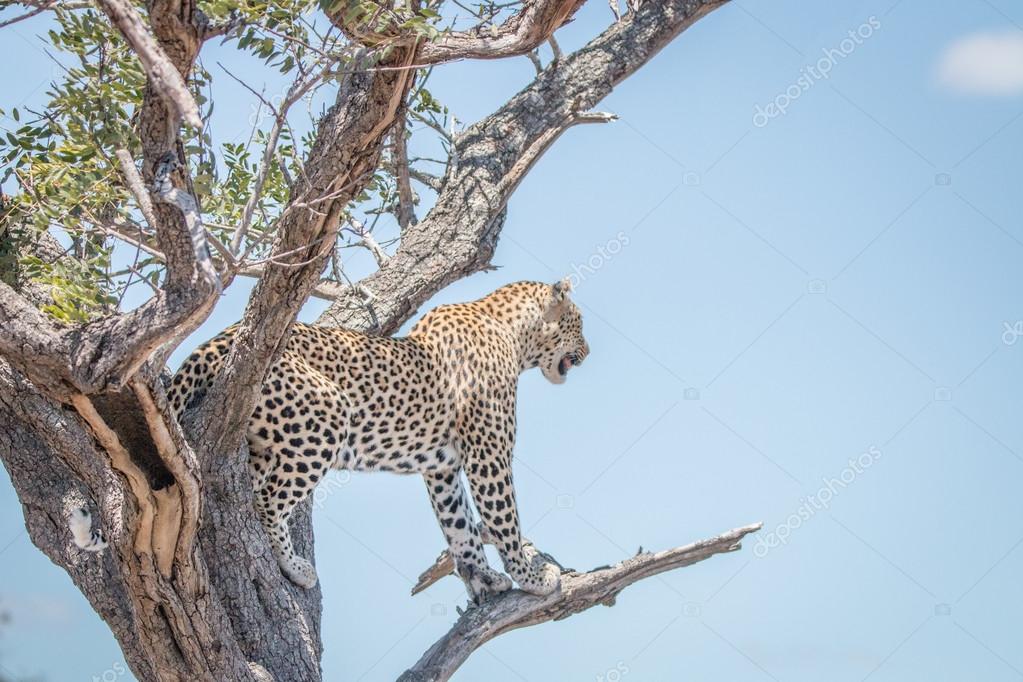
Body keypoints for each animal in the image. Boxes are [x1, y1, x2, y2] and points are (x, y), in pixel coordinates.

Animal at [168, 279, 589, 601]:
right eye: (580, 323)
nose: (587, 352)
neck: (513, 333)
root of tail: (217, 341)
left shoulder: (442, 468)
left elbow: (460, 527)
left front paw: (483, 577)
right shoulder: (488, 455)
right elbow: (504, 519)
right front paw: (531, 576)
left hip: (259, 440)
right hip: (327, 415)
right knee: (267, 501)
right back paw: (295, 566)